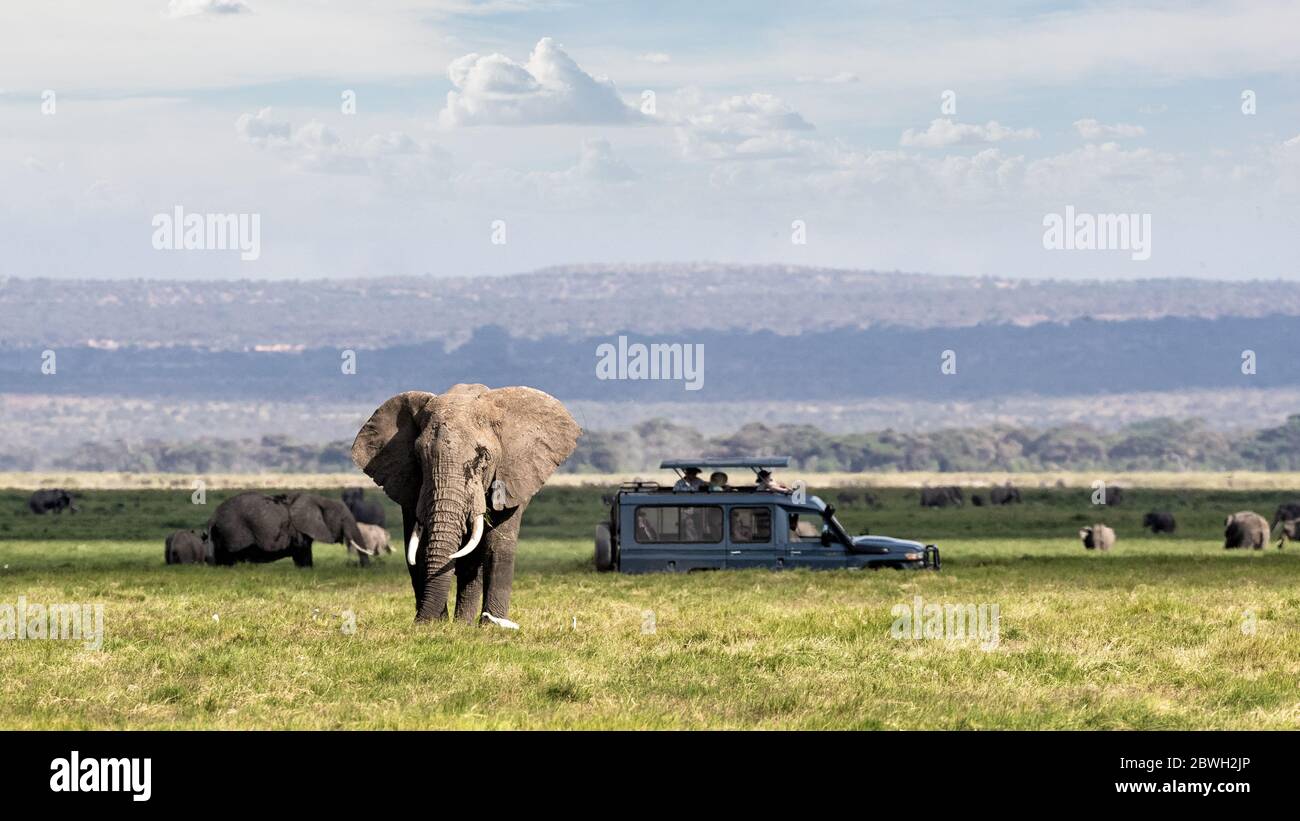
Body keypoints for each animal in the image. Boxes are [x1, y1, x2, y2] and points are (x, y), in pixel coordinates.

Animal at [207, 492, 370, 567]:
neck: (319, 499)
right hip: (233, 531)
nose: (363, 568)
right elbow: (302, 553)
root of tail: (213, 517)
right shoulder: (297, 530)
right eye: (342, 520)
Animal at [351, 384, 581, 626]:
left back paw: (465, 624)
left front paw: (491, 626)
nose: (420, 621)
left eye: (484, 458)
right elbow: (419, 549)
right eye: (419, 458)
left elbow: (497, 547)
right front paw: (433, 624)